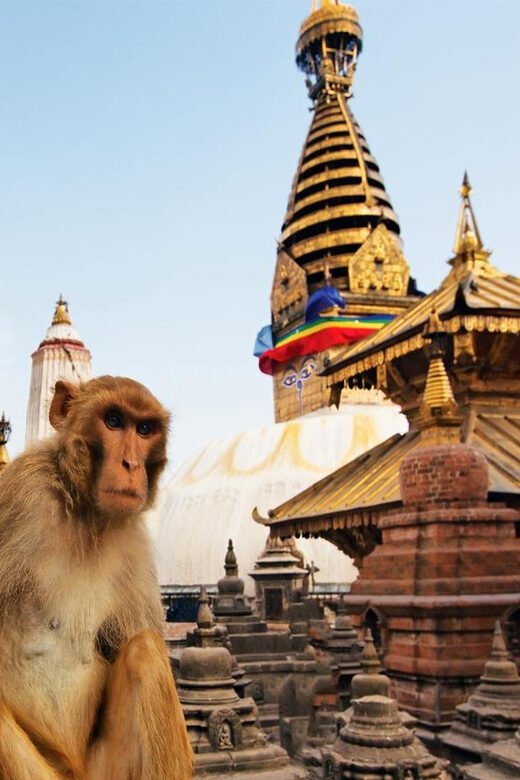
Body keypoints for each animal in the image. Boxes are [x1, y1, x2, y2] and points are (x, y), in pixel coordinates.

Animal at [0, 376, 193, 780]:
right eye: (114, 421)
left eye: (145, 429)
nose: (131, 464)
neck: (83, 513)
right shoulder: (20, 492)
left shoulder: (132, 542)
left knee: (145, 650)